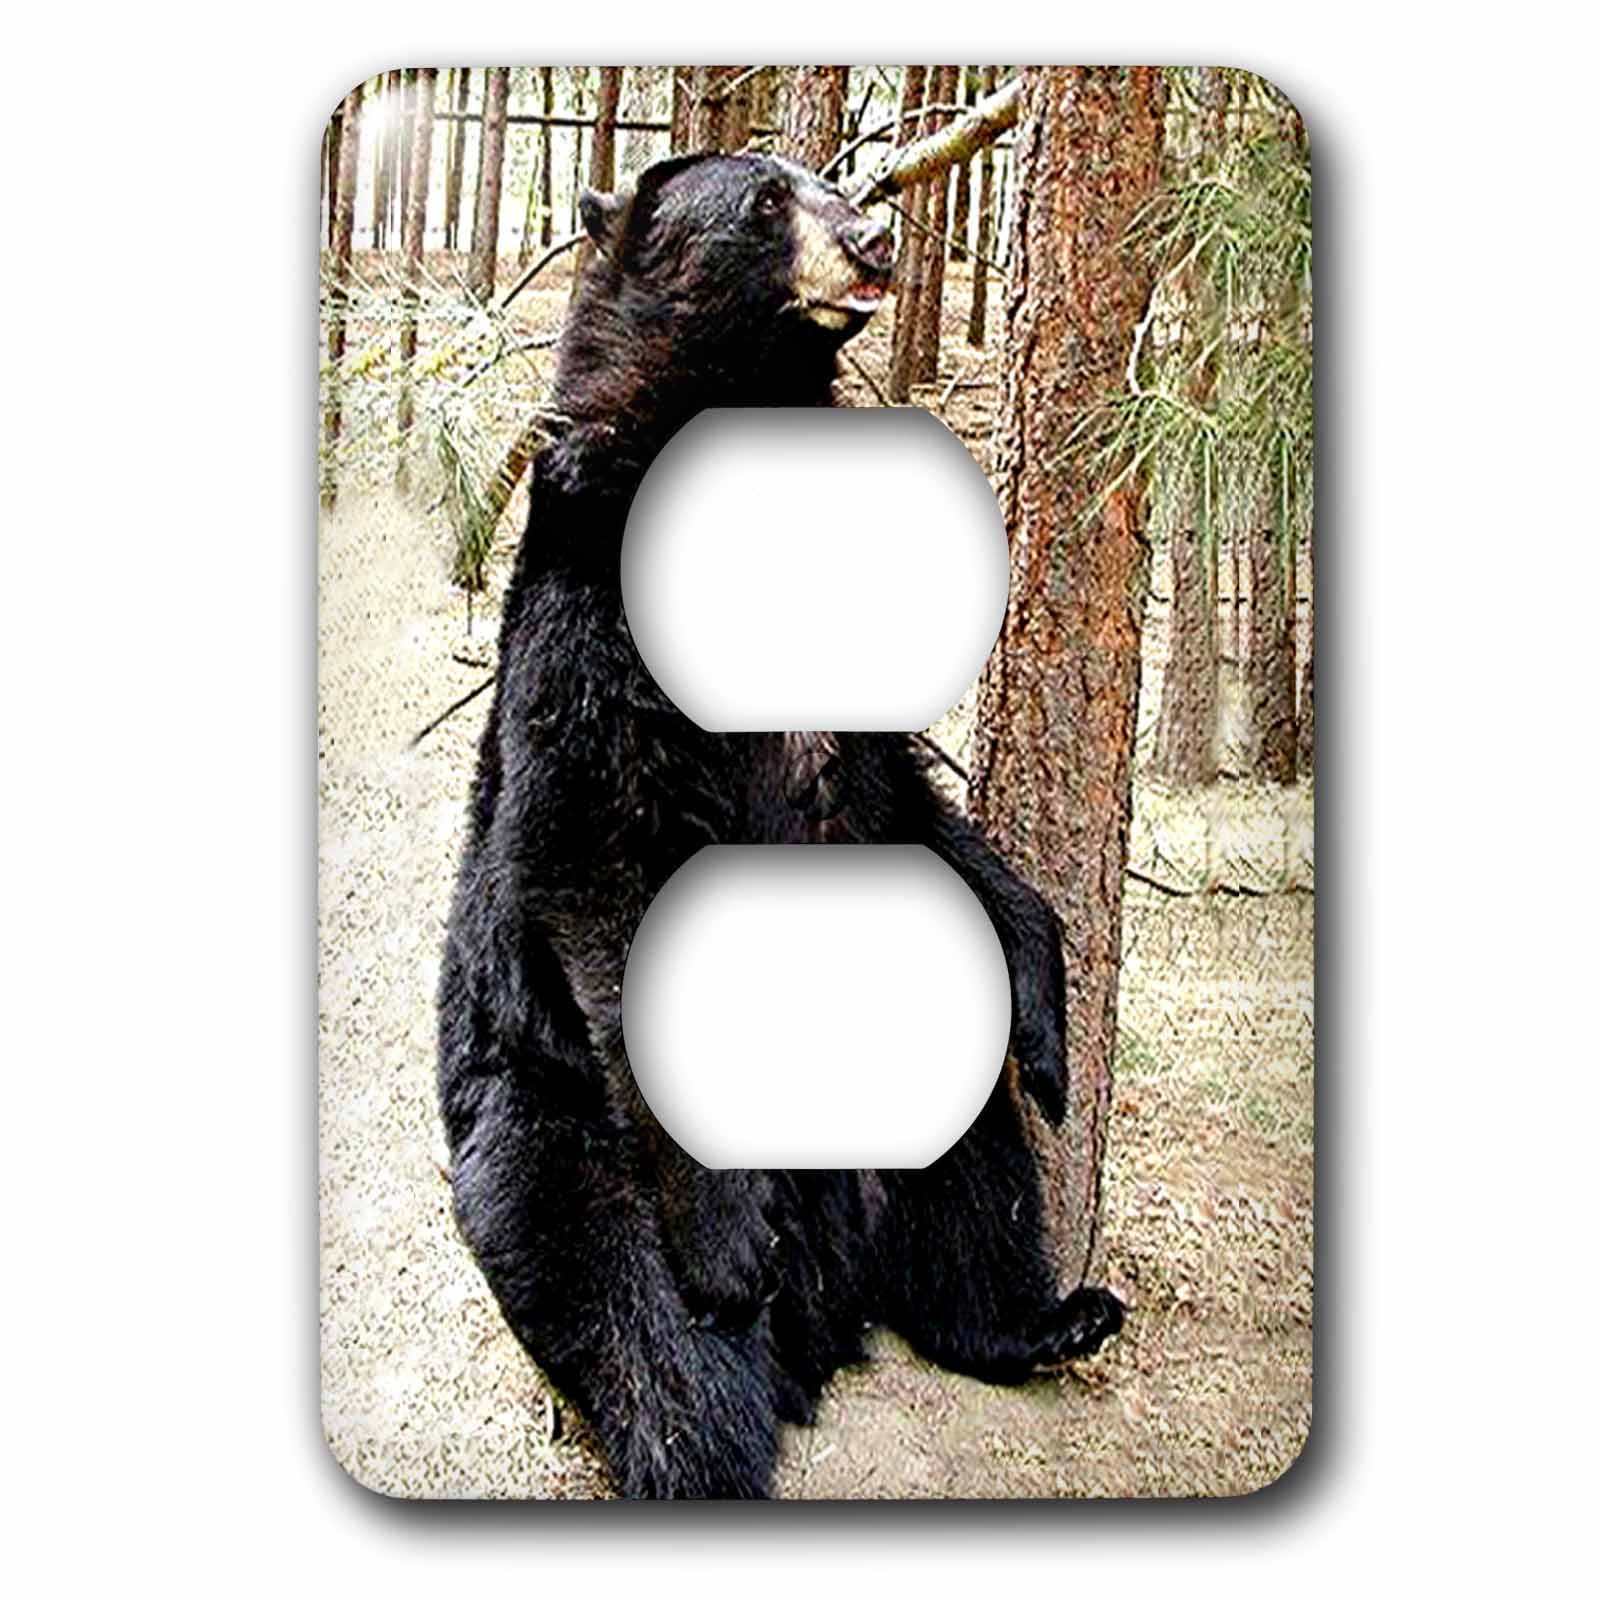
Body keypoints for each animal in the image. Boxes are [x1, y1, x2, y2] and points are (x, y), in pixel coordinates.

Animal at [436, 151, 1125, 1500]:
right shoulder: (591, 610)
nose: (877, 237)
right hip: (551, 1129)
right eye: (764, 200)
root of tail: (831, 1308)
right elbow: (591, 851)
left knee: (974, 1169)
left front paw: (1050, 1011)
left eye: (834, 177)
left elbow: (905, 797)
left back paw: (1044, 1316)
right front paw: (720, 1240)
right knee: (644, 1333)